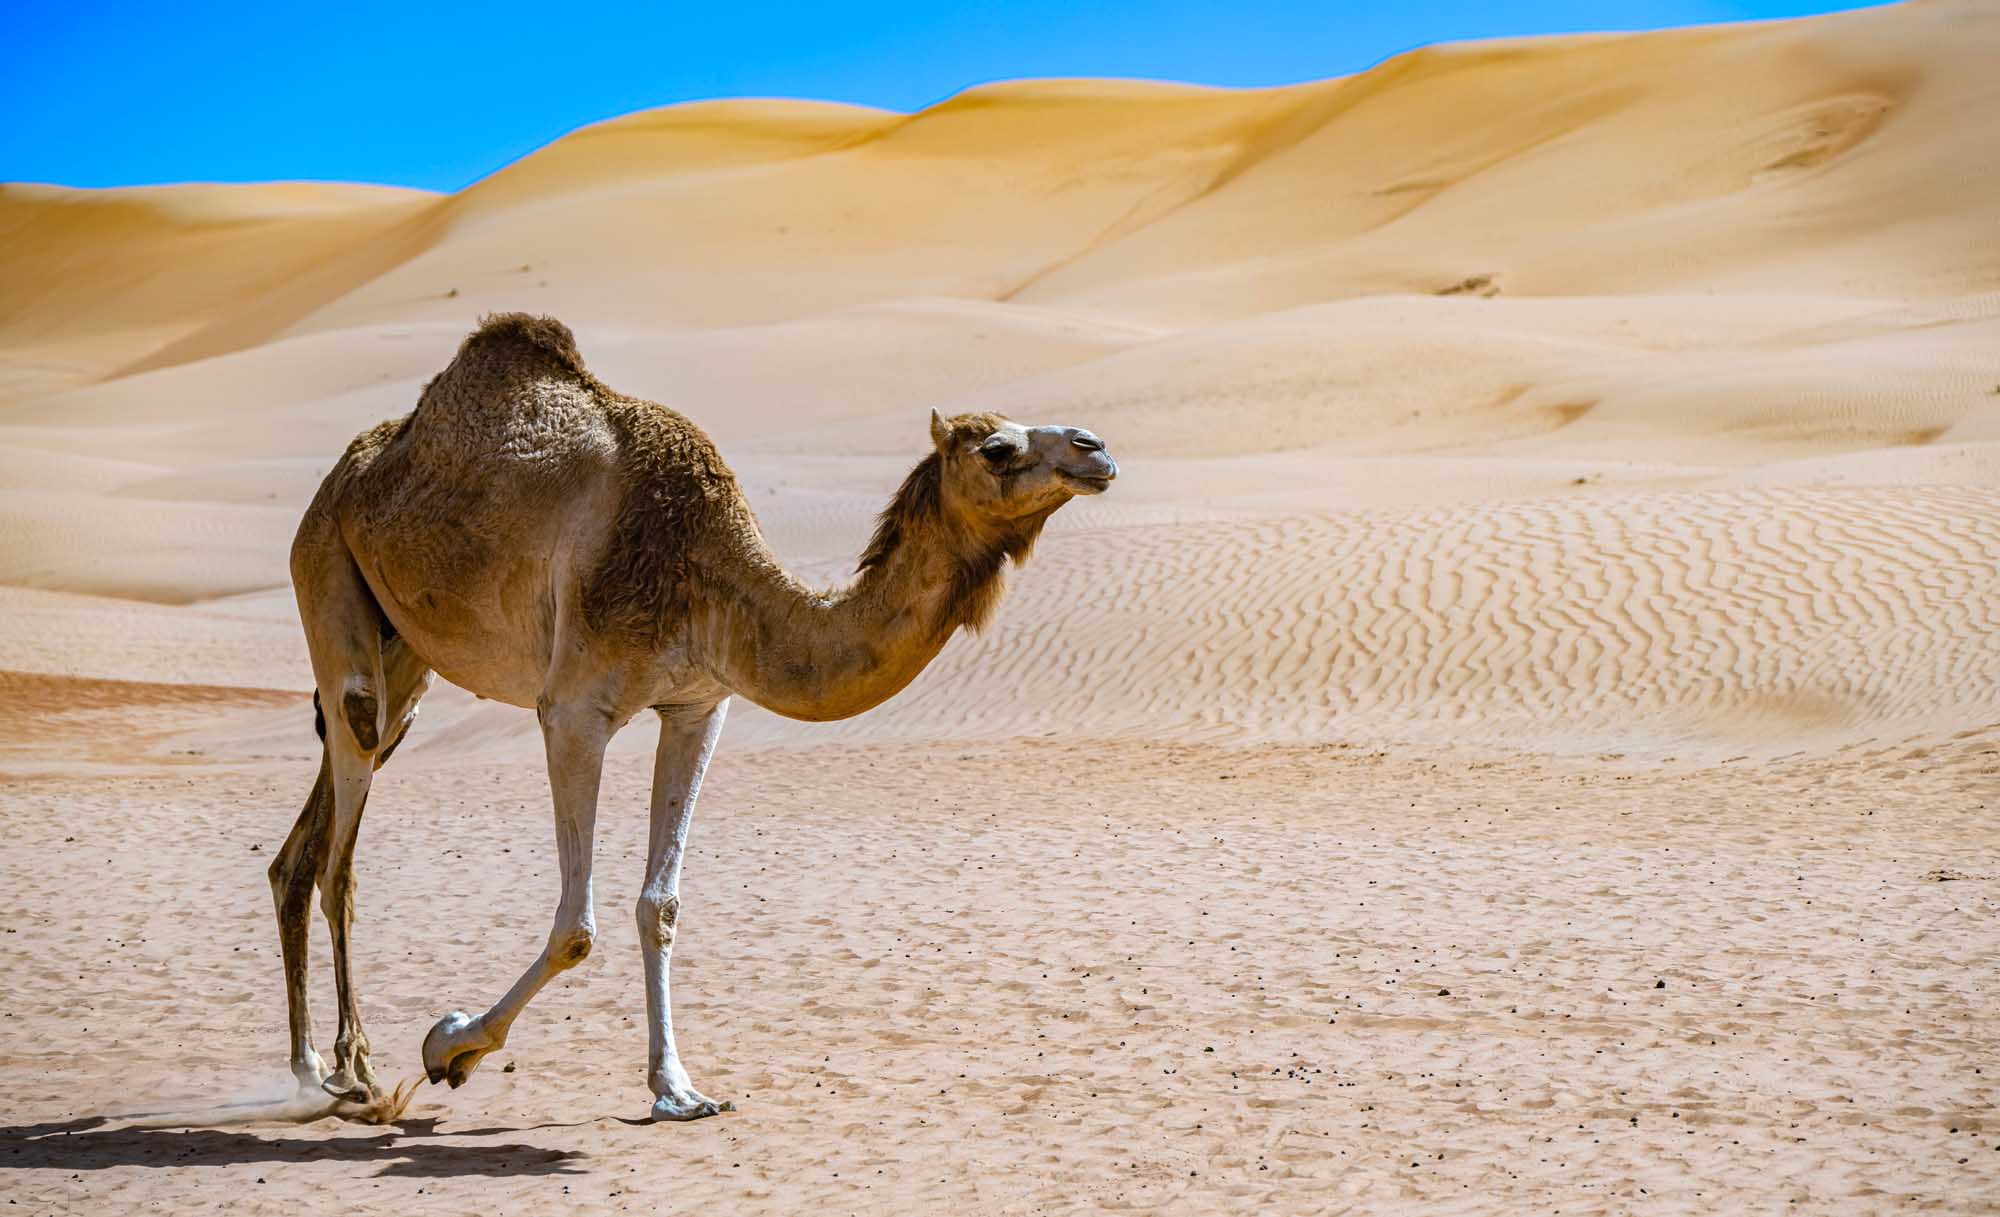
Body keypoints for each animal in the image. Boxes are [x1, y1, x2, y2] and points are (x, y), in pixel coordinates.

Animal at [270, 313, 1117, 1122]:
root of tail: (347, 472)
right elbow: (577, 923)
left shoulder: (698, 705)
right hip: (325, 564)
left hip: (405, 656)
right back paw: (355, 1071)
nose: (1097, 448)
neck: (705, 569)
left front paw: (677, 1086)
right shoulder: (572, 708)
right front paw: (450, 1044)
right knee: (342, 843)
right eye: (998, 448)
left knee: (303, 851)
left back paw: (309, 1068)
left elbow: (661, 903)